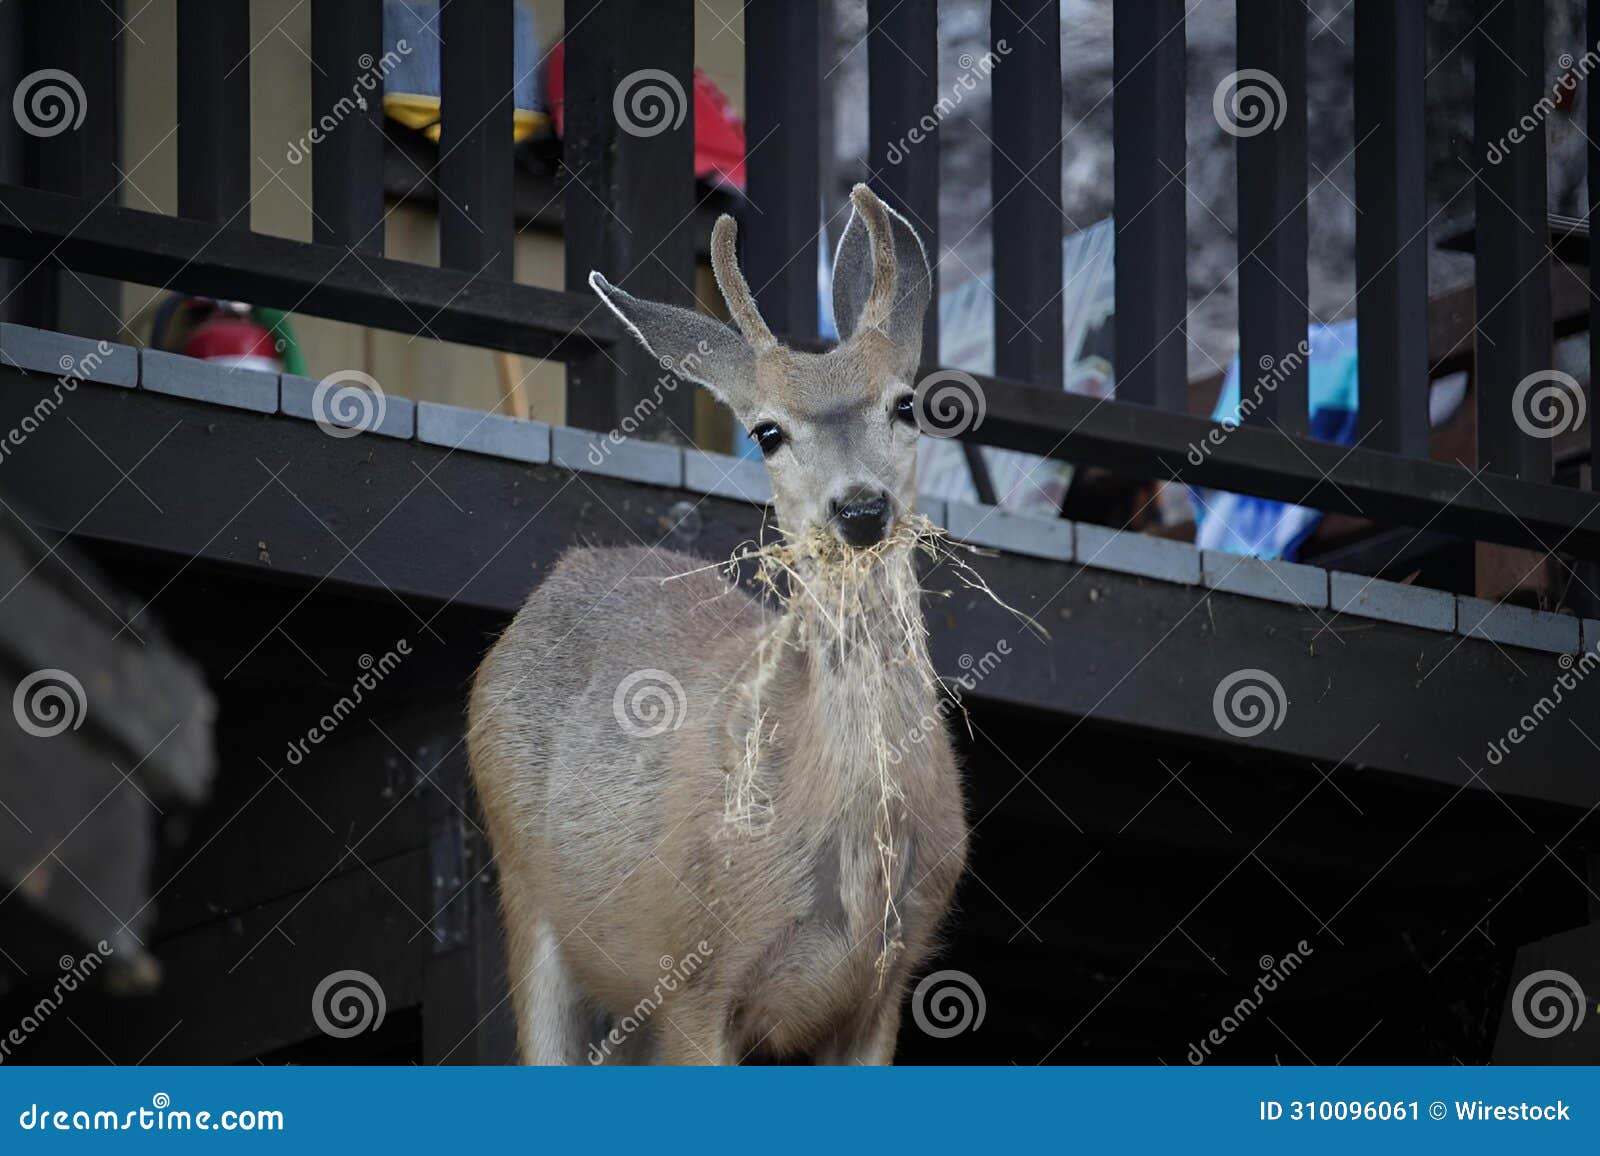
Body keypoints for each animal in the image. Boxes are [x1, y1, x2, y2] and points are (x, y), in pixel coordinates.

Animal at [467, 184, 968, 1065]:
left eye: (905, 404)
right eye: (768, 431)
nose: (860, 508)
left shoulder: (886, 986)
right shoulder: (694, 971)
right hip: (528, 897)